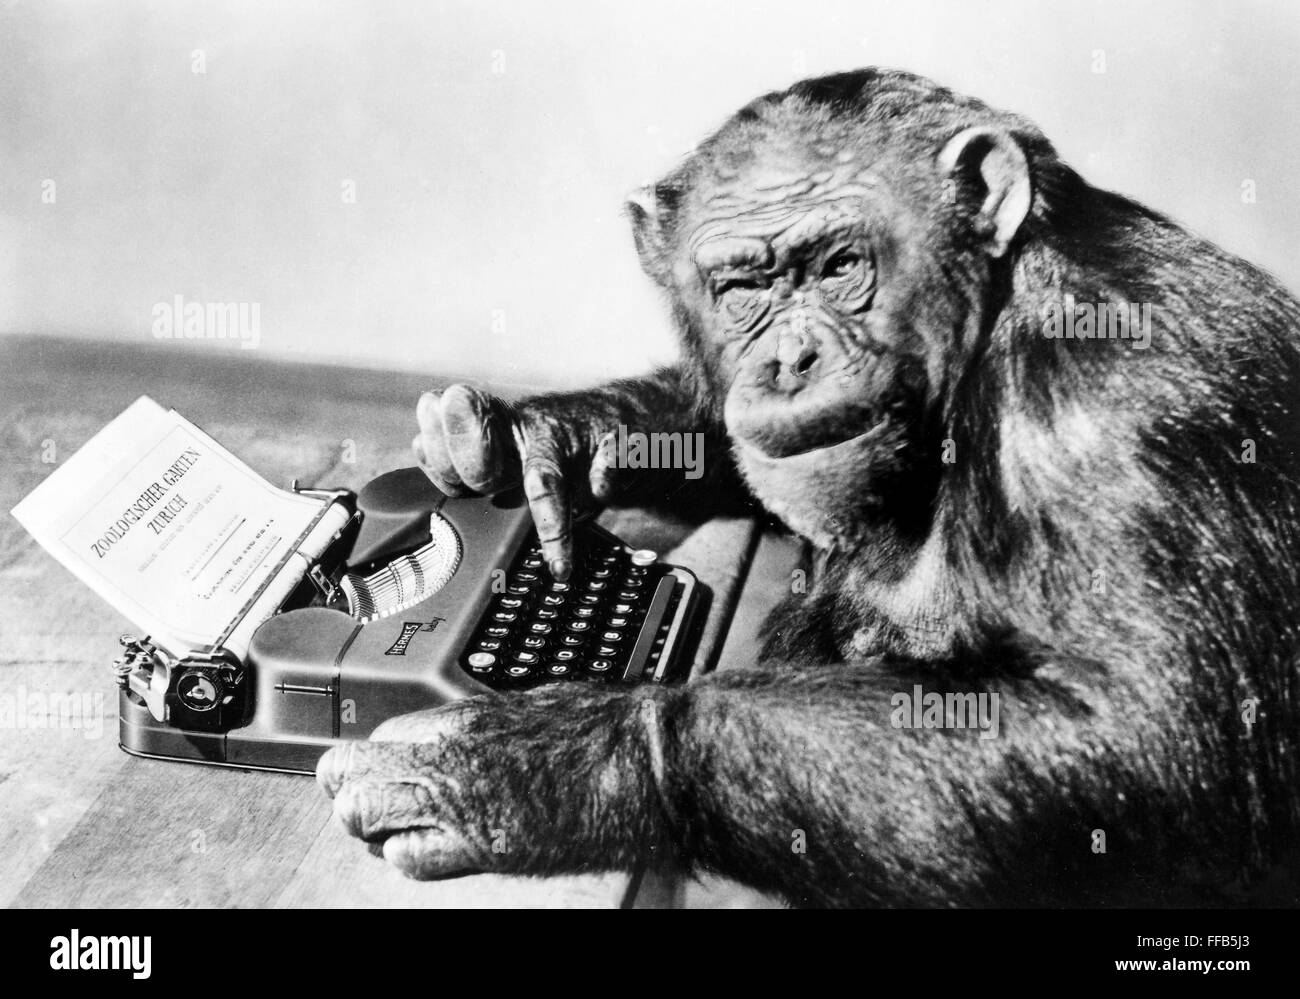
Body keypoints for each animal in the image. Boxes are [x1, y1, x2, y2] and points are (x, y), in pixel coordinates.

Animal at [317, 69, 1300, 907]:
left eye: (838, 266)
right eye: (742, 287)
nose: (789, 358)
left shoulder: (1117, 413)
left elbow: (1142, 743)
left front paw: (536, 759)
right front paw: (525, 440)